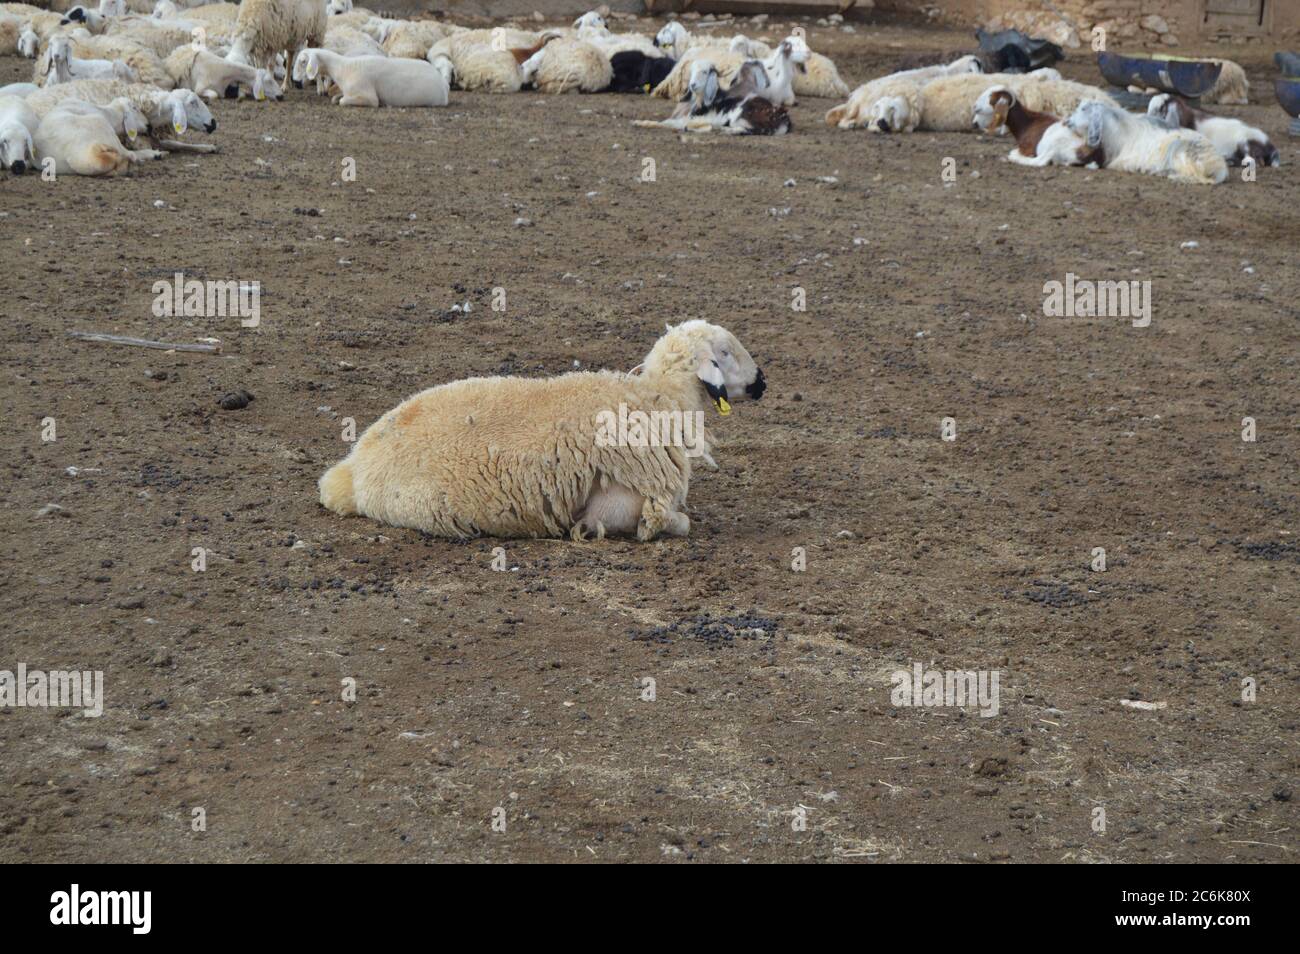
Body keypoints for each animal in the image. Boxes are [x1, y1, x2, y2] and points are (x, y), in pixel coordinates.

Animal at [301, 47, 447, 107]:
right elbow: (336, 99)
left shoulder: (366, 96)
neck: (342, 67)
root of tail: (443, 83)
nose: (297, 83)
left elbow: (342, 101)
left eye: (303, 61)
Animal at [318, 320, 766, 541]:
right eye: (725, 352)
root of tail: (350, 470)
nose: (762, 382)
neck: (657, 399)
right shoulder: (620, 503)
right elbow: (675, 522)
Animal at [972, 85, 1102, 167]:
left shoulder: (1028, 148)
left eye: (991, 99)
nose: (974, 124)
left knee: (1040, 162)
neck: (1027, 123)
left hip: (1053, 144)